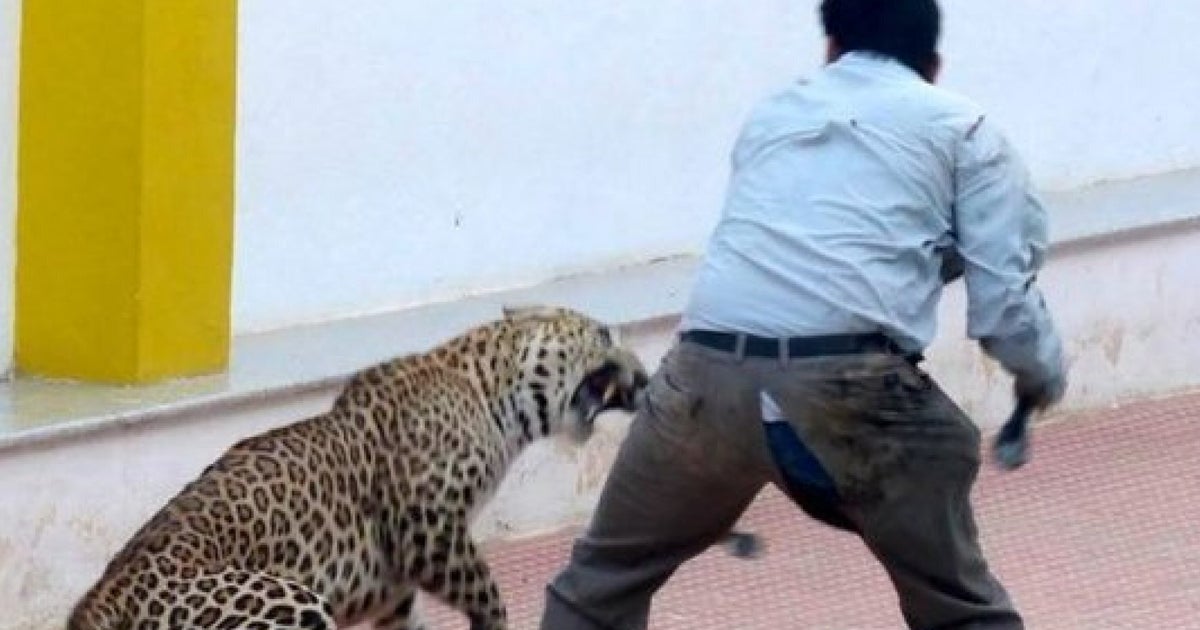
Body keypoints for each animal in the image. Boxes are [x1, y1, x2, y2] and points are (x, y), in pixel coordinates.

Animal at [66, 305, 649, 630]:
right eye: (603, 335)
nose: (645, 379)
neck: (490, 393)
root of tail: (101, 598)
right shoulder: (428, 530)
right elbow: (487, 592)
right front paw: (493, 624)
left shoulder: (397, 587)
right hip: (289, 604)